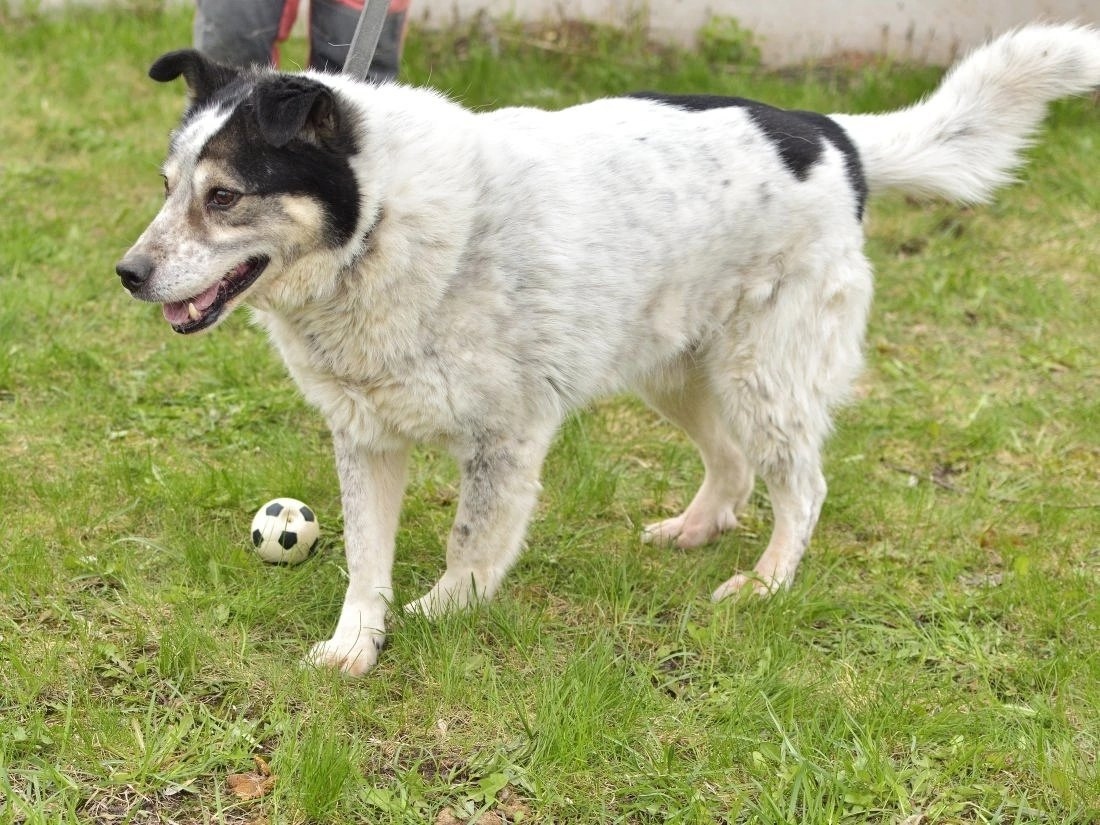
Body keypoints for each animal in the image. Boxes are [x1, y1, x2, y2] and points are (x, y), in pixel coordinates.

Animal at [118, 25, 1100, 673]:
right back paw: (699, 526)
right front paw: (355, 643)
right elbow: (365, 559)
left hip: (763, 371)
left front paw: (440, 615)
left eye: (225, 196)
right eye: (167, 187)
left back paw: (767, 580)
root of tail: (837, 136)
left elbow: (471, 543)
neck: (381, 225)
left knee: (803, 483)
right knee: (731, 462)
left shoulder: (504, 438)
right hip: (678, 366)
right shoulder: (365, 436)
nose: (127, 272)